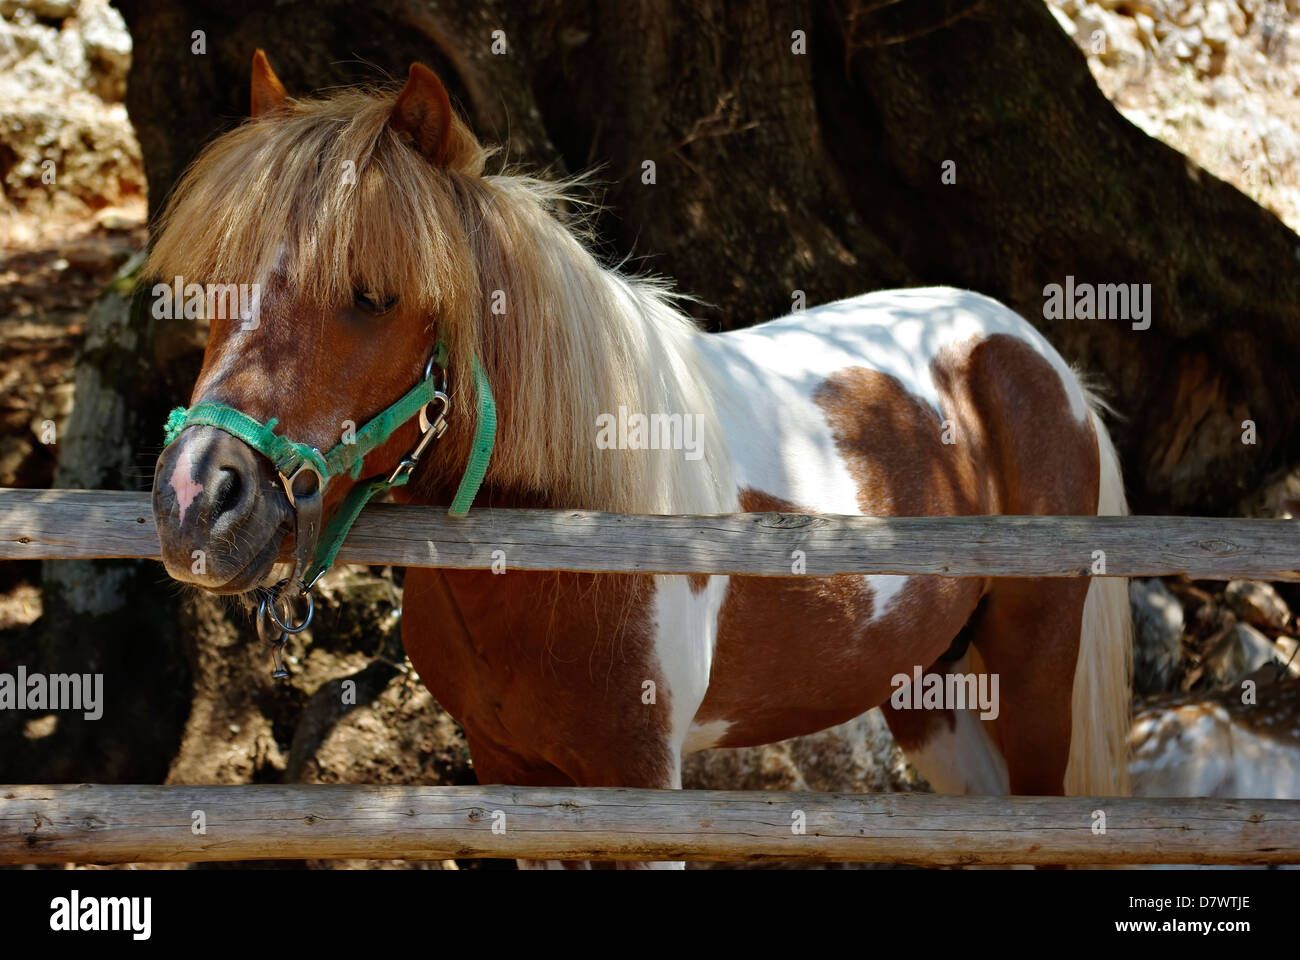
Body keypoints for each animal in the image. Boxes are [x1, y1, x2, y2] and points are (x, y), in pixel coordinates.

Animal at [149, 51, 1133, 869]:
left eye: (372, 295)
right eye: (213, 287)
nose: (197, 497)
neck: (570, 543)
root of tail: (1033, 357)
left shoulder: (643, 782)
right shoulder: (514, 774)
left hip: (1031, 678)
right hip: (929, 694)